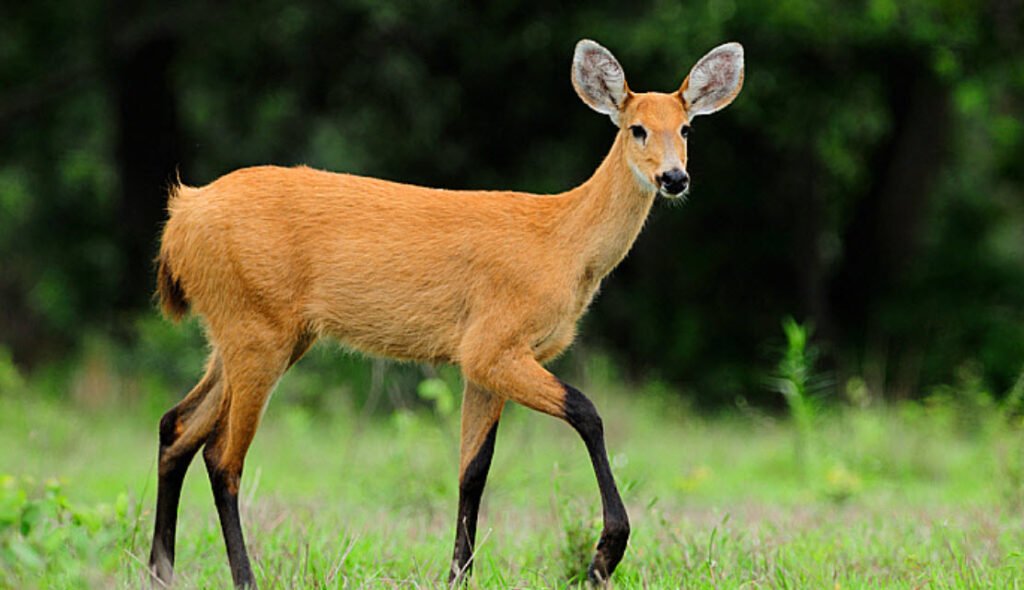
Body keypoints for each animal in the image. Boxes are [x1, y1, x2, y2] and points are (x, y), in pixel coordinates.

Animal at [147, 39, 744, 588]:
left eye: (686, 129)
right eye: (636, 129)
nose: (674, 178)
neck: (561, 244)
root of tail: (180, 219)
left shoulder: (480, 364)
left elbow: (472, 471)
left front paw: (458, 574)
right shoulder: (493, 343)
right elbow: (586, 411)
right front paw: (604, 554)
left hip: (255, 332)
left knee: (176, 425)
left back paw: (160, 569)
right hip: (256, 327)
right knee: (223, 458)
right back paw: (243, 577)